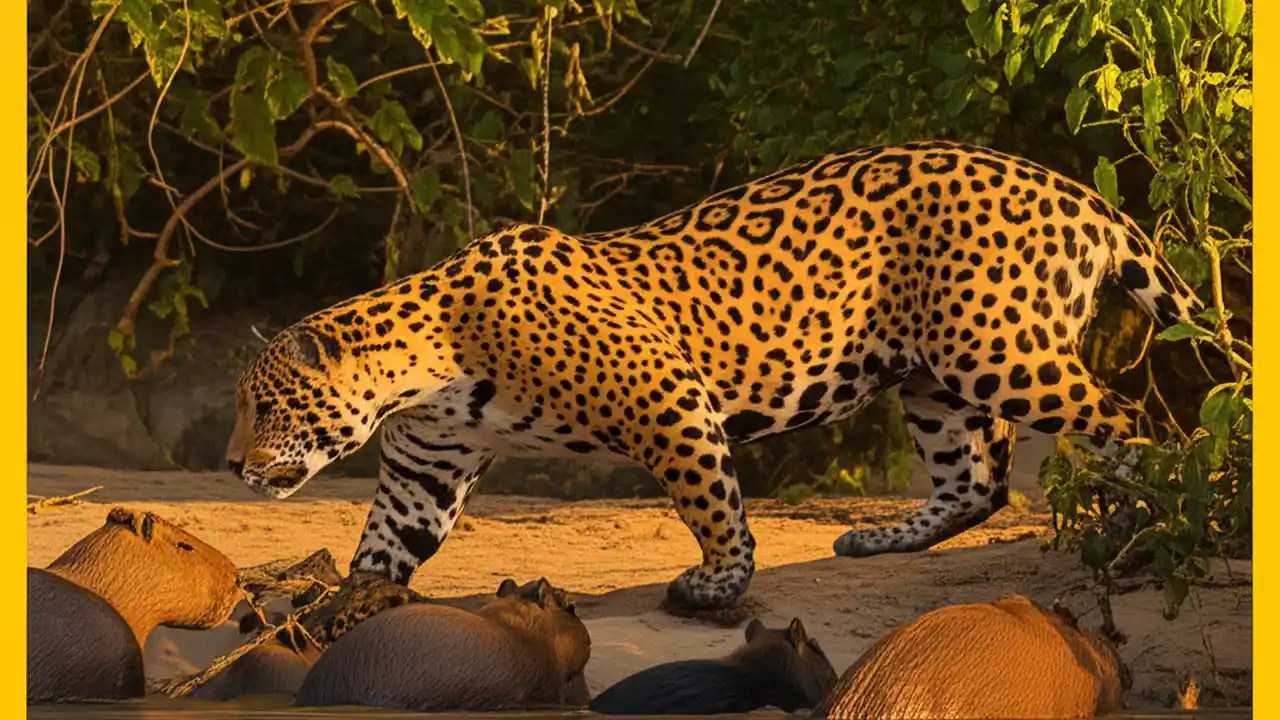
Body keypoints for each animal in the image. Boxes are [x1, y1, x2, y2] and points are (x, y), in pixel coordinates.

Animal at [226, 140, 1200, 613]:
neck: (423, 368)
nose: (233, 465)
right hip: (934, 376)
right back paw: (877, 539)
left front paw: (720, 583)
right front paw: (345, 603)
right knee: (979, 480)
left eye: (268, 407)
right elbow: (387, 543)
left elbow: (708, 501)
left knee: (1135, 424)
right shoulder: (426, 464)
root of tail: (1070, 187)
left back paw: (1145, 521)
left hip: (999, 354)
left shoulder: (664, 397)